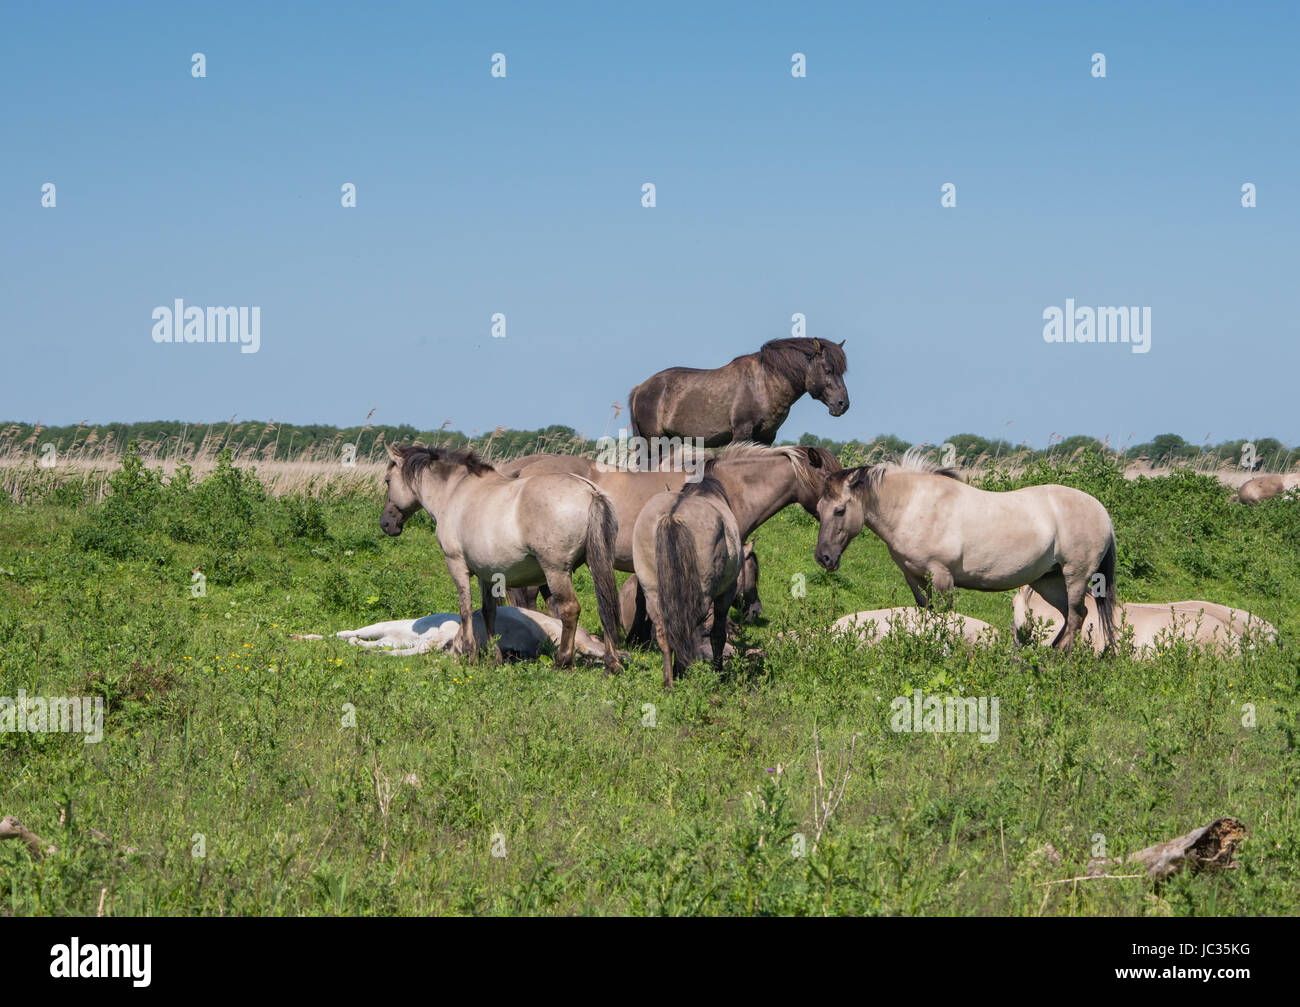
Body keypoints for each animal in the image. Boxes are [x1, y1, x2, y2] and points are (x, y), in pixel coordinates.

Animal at [380, 443, 623, 672]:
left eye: (387, 481)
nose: (385, 524)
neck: (455, 493)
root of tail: (590, 492)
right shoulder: (486, 573)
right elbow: (489, 612)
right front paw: (493, 656)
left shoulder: (456, 564)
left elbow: (465, 609)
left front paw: (467, 653)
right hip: (596, 564)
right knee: (606, 607)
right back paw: (612, 664)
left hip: (556, 571)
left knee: (570, 610)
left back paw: (563, 662)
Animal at [627, 337, 849, 447]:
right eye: (828, 370)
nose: (843, 404)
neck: (765, 383)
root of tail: (639, 389)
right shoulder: (742, 433)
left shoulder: (767, 437)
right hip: (654, 440)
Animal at [632, 472, 742, 686]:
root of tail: (671, 515)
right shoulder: (726, 592)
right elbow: (718, 634)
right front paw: (718, 672)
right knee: (687, 628)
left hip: (652, 592)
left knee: (666, 632)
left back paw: (670, 681)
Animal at [813, 449, 1117, 652]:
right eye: (818, 508)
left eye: (840, 510)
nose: (824, 557)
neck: (915, 507)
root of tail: (1102, 512)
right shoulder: (915, 577)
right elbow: (927, 614)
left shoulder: (942, 576)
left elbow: (944, 618)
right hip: (1049, 580)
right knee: (1071, 616)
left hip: (1075, 576)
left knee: (1077, 616)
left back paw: (1059, 660)